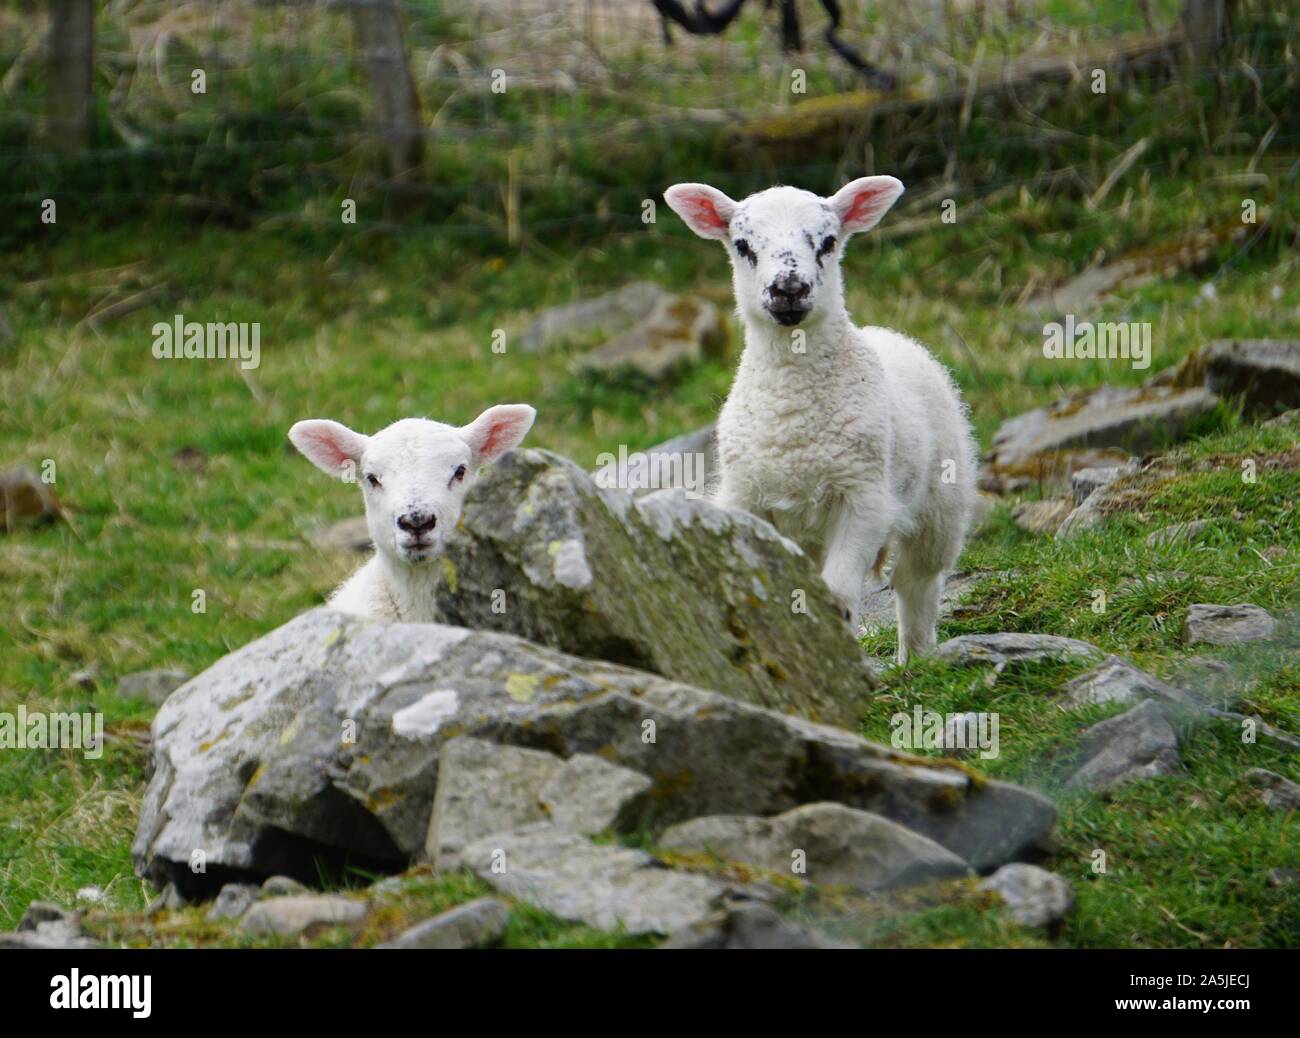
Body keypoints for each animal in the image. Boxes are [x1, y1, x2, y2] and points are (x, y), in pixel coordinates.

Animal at [664, 177, 977, 662]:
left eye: (828, 242)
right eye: (742, 245)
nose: (789, 288)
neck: (795, 415)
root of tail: (888, 334)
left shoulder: (863, 499)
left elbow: (840, 596)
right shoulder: (746, 501)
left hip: (941, 504)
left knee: (917, 584)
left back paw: (917, 660)